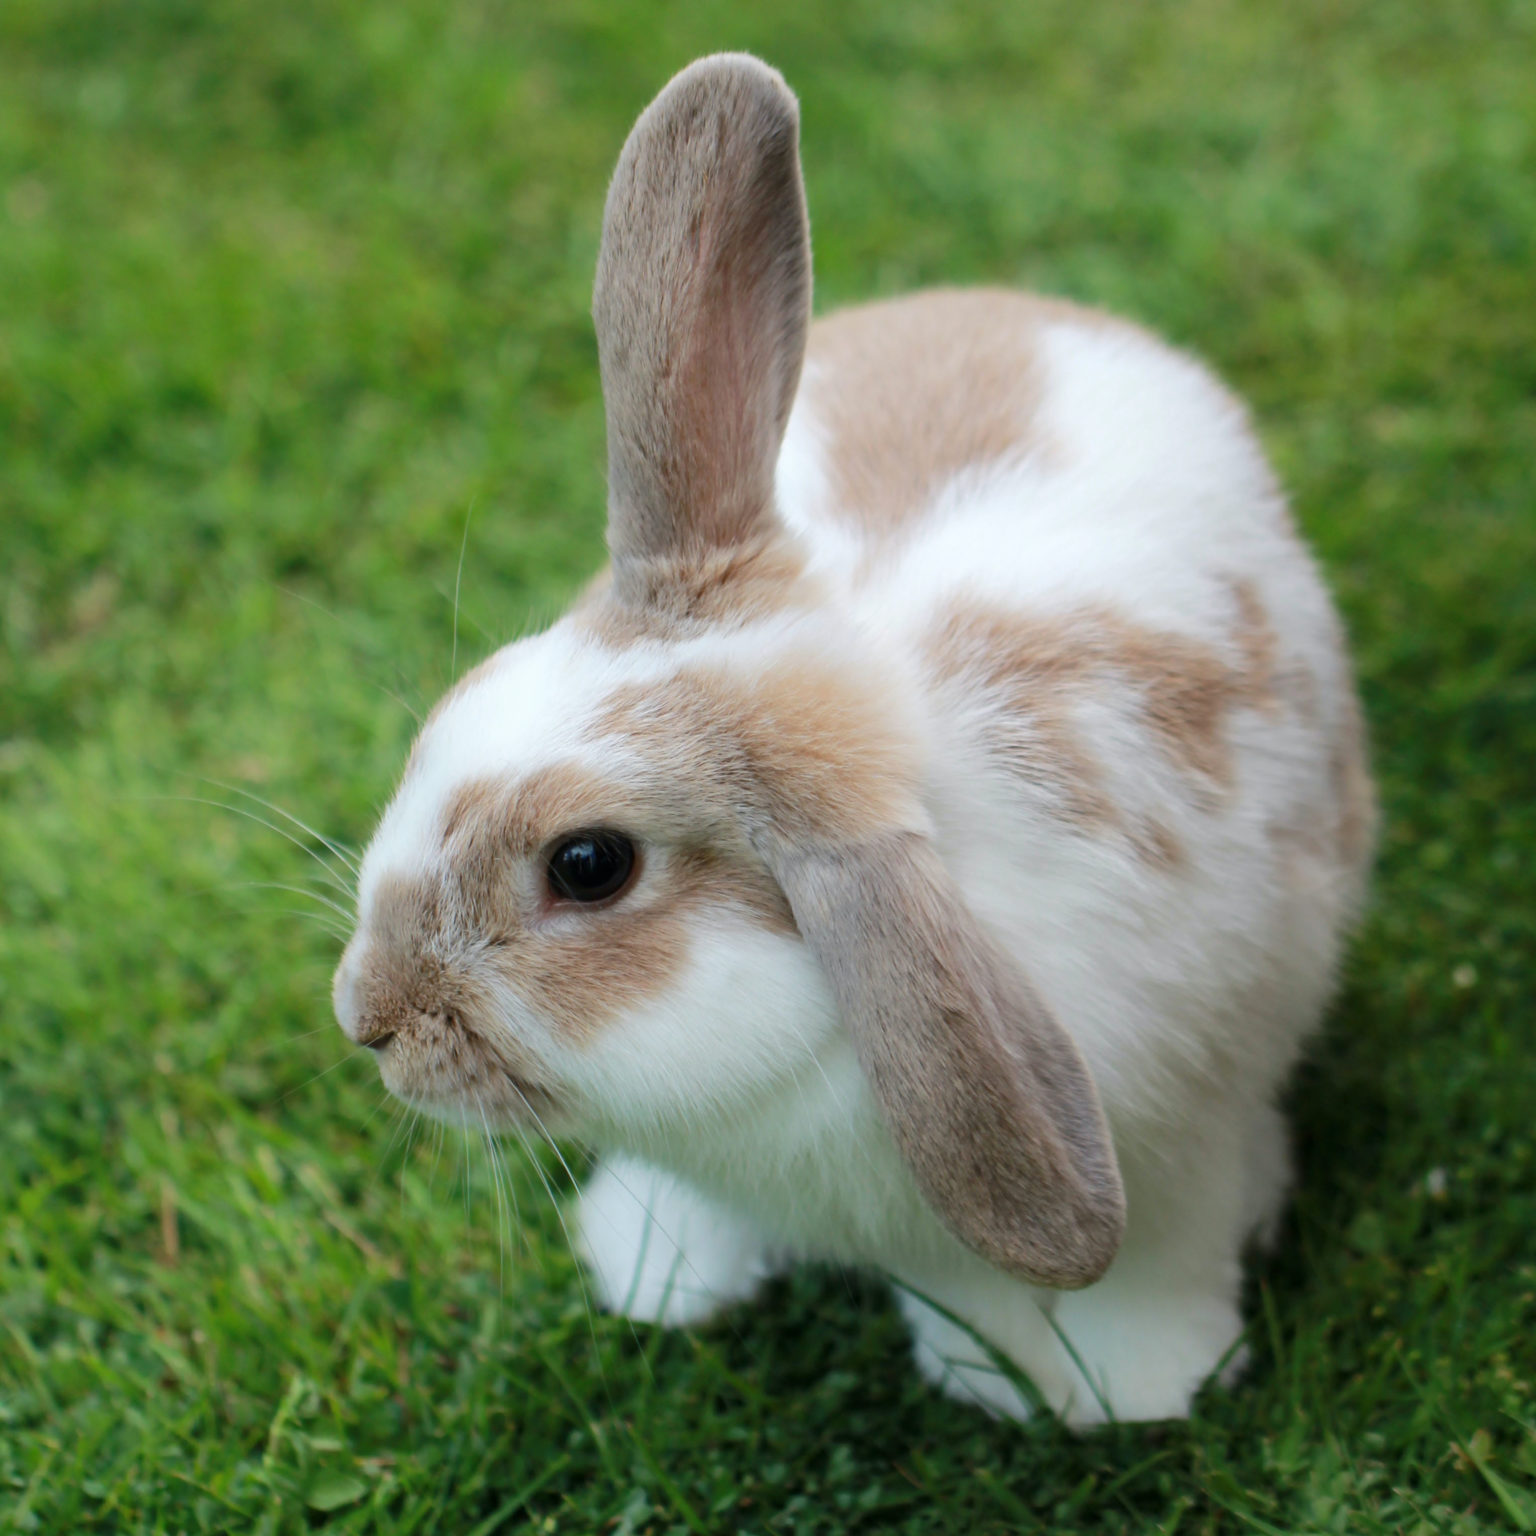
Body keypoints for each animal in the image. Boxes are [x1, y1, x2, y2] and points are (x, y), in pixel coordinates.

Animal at [330, 53, 1375, 1426]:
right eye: (461, 706)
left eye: (589, 866)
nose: (367, 1018)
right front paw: (667, 1272)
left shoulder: (1176, 1141)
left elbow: (1152, 1262)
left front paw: (1138, 1386)